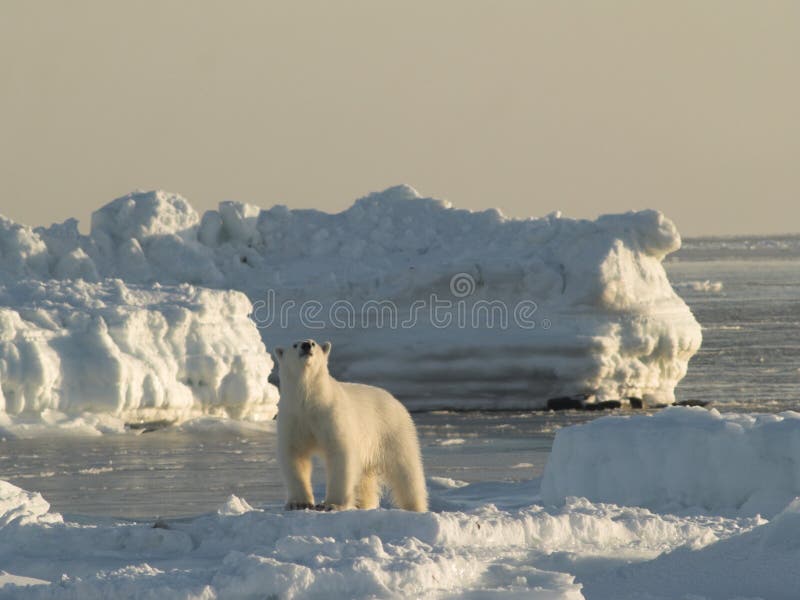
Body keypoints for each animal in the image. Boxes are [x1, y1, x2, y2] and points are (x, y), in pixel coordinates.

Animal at [274, 339, 428, 512]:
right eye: (295, 345)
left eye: (314, 343)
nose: (306, 345)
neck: (308, 401)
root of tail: (394, 400)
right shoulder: (294, 417)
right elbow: (295, 454)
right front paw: (299, 503)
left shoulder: (330, 414)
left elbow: (339, 453)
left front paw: (331, 504)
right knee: (366, 478)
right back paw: (364, 504)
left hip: (391, 430)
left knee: (405, 470)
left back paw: (414, 507)